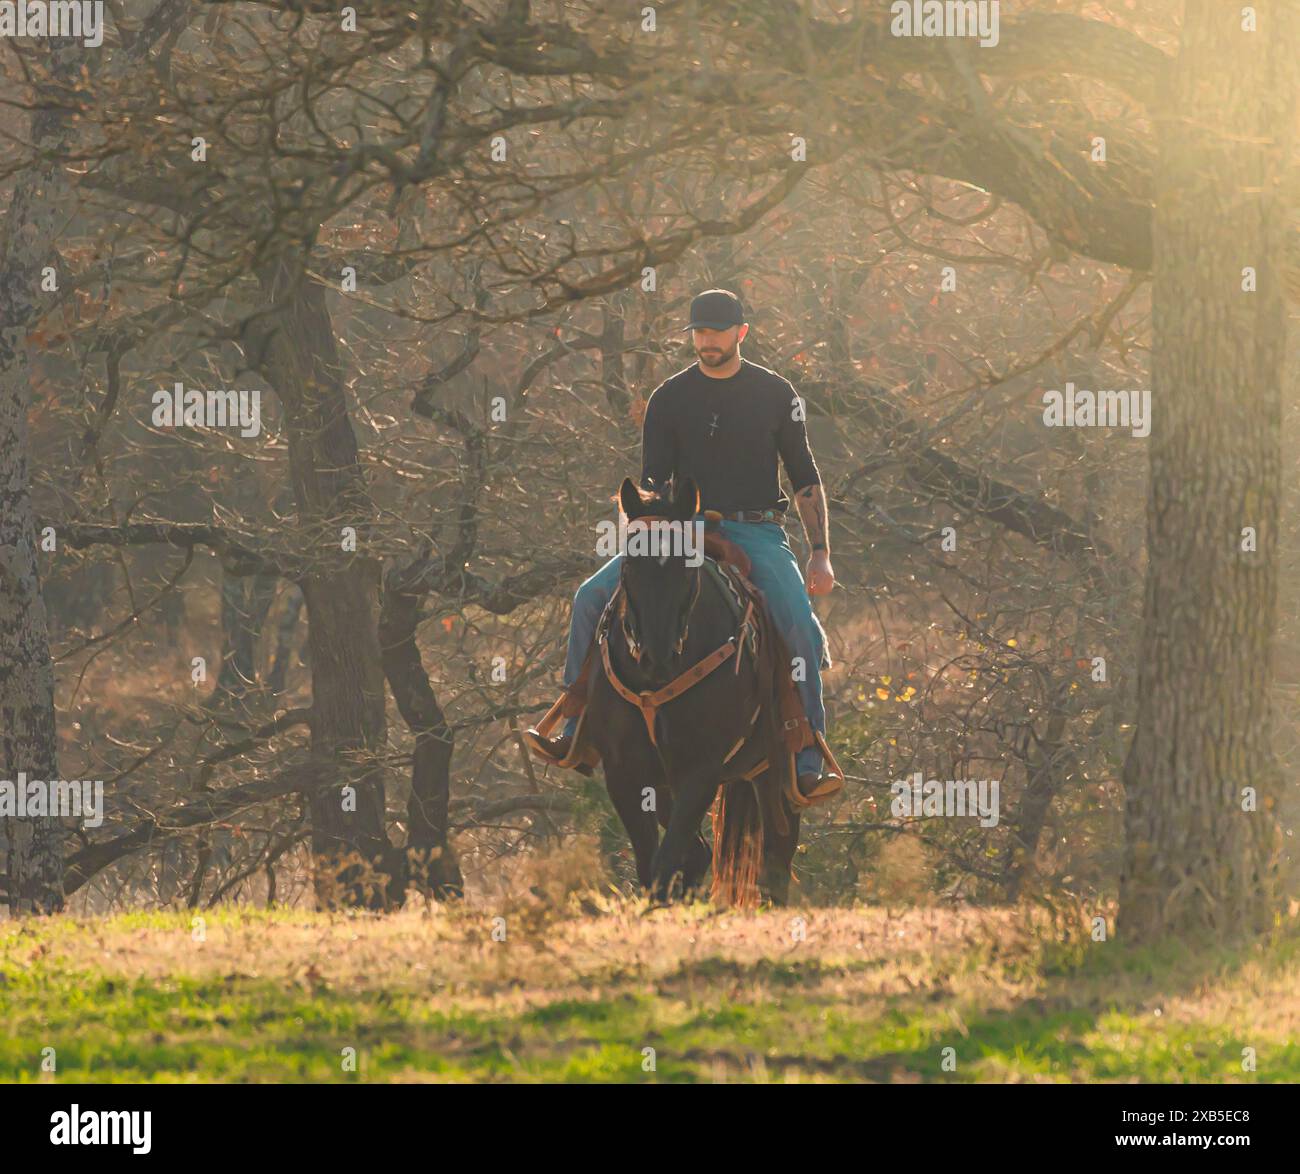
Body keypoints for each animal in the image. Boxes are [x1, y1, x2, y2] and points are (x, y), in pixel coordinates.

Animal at [583, 475, 803, 905]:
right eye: (629, 564)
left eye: (687, 565)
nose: (656, 655)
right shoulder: (624, 772)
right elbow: (652, 863)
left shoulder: (701, 771)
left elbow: (665, 859)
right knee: (702, 854)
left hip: (776, 774)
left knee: (776, 859)